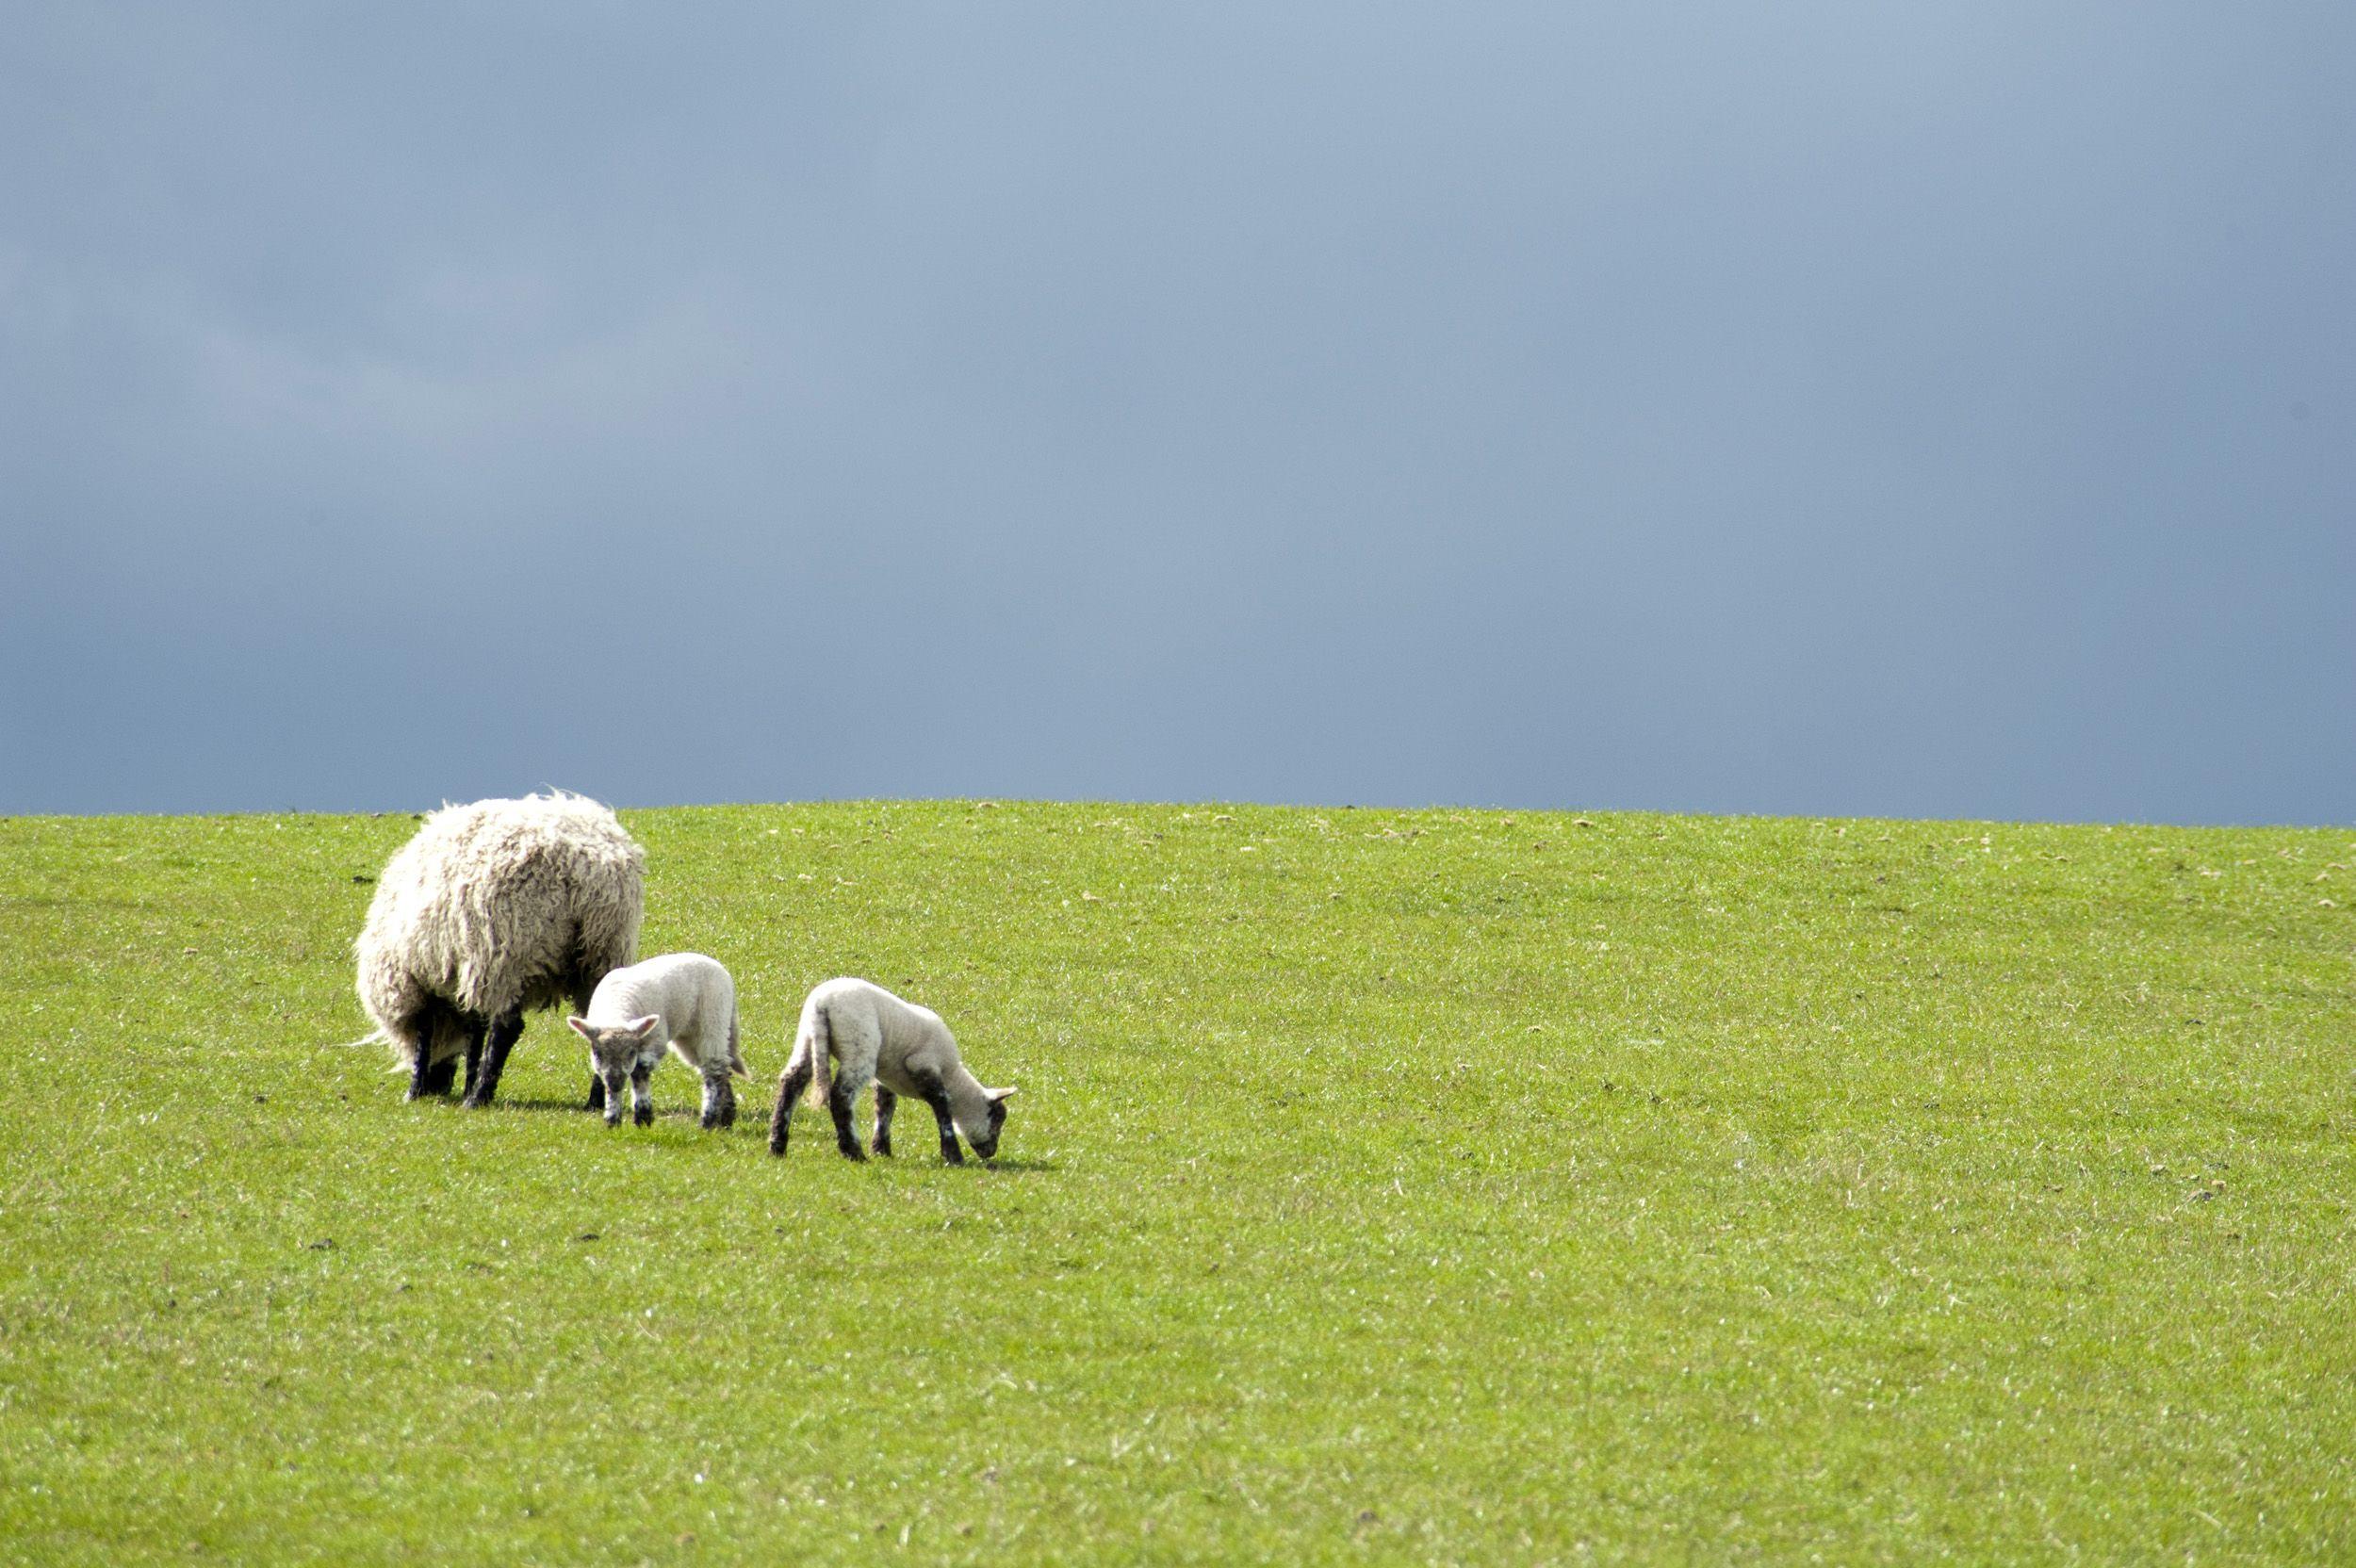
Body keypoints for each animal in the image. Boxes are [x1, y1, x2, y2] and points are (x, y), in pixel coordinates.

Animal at [354, 790, 644, 1109]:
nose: (439, 1086)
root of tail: (585, 868)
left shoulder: (418, 978)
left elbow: (426, 1032)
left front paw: (417, 1089)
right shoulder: (461, 976)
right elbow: (474, 1032)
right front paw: (465, 1080)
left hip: (505, 954)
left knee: (506, 1028)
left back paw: (479, 1096)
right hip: (602, 953)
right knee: (601, 1024)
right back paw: (595, 1100)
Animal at [566, 953, 749, 1129]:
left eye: (631, 1052)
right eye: (597, 1053)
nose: (616, 1083)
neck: (617, 1012)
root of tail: (721, 969)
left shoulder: (655, 1040)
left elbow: (639, 1072)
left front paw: (643, 1118)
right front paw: (613, 1120)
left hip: (712, 1020)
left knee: (715, 1070)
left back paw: (708, 1122)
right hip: (689, 1035)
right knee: (718, 1068)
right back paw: (726, 1118)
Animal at [767, 977, 1015, 1163]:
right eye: (998, 1119)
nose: (990, 1152)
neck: (952, 1074)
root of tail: (822, 1004)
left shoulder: (886, 1078)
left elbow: (885, 1106)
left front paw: (881, 1149)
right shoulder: (924, 1064)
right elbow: (941, 1105)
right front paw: (953, 1156)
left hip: (806, 1037)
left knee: (791, 1083)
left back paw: (777, 1146)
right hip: (858, 1045)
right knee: (841, 1097)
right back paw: (853, 1153)